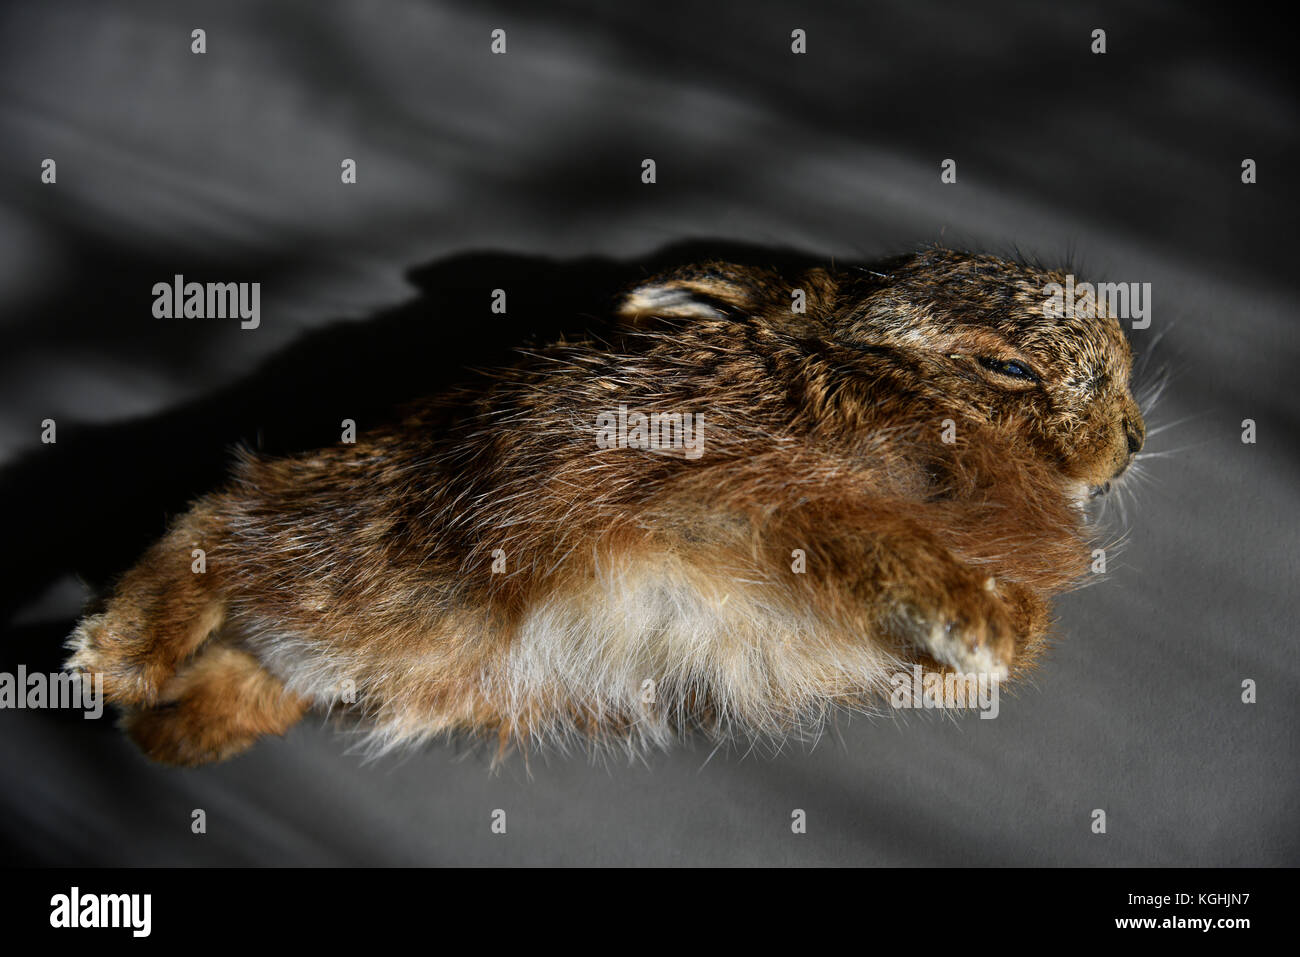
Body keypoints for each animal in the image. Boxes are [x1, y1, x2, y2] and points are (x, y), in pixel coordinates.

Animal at [65, 247, 1145, 765]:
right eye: (1007, 367)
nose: (1129, 440)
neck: (894, 389)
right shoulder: (763, 504)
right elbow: (884, 550)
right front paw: (973, 634)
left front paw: (967, 668)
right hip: (374, 553)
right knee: (226, 514)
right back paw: (113, 660)